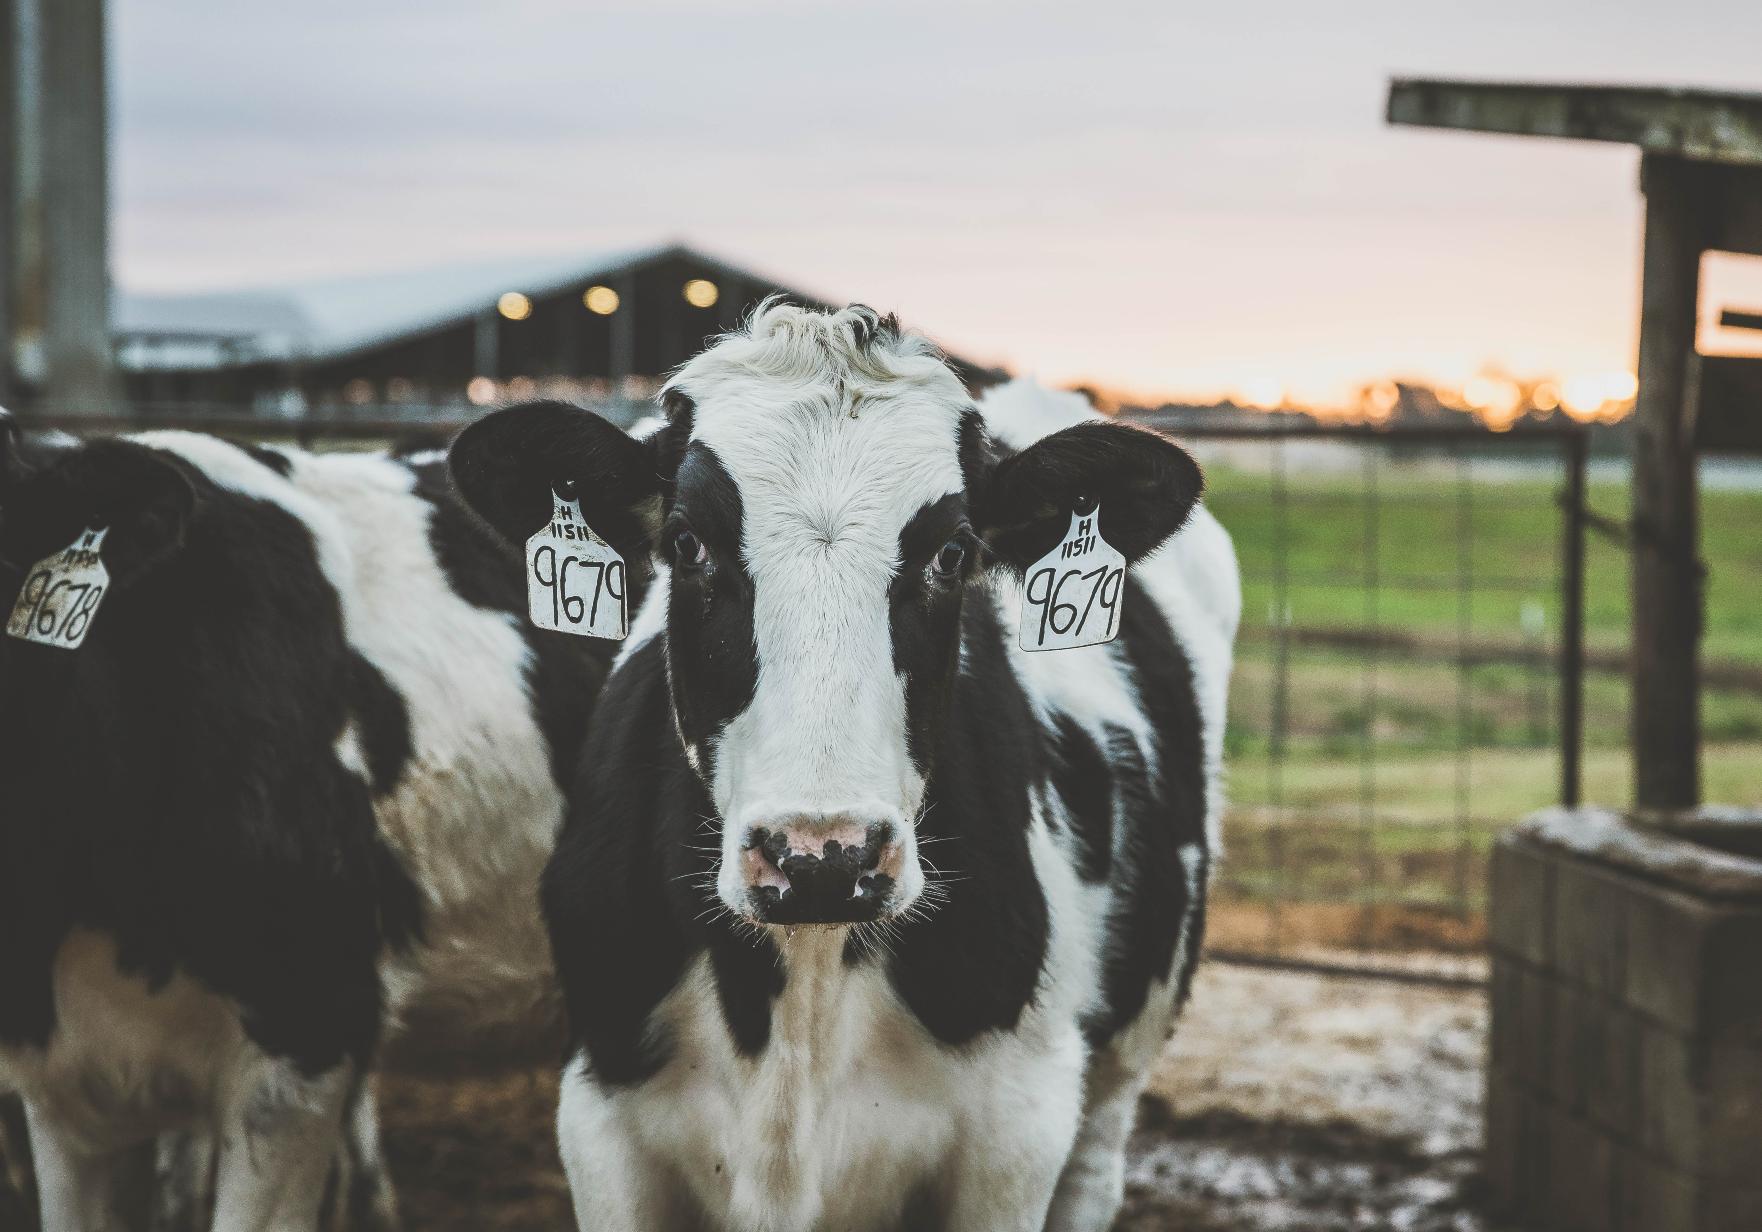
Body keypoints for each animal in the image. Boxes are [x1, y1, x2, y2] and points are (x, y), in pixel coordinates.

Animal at [448, 302, 1240, 1232]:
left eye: (954, 552)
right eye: (685, 543)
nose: (822, 855)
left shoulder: (1019, 1129)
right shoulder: (600, 1121)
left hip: (1122, 1057)